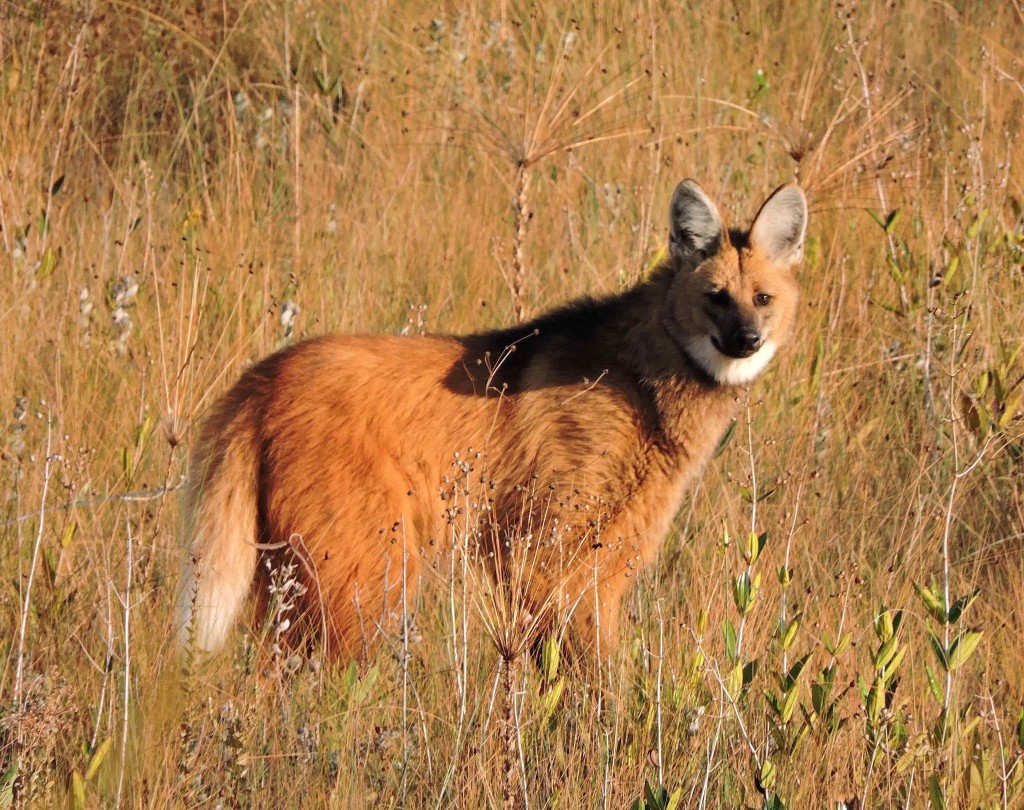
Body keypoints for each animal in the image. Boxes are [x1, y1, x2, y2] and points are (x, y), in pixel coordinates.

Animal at [177, 179, 808, 661]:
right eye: (717, 297)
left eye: (763, 299)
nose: (747, 340)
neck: (643, 379)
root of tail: (261, 378)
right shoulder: (546, 551)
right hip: (369, 569)